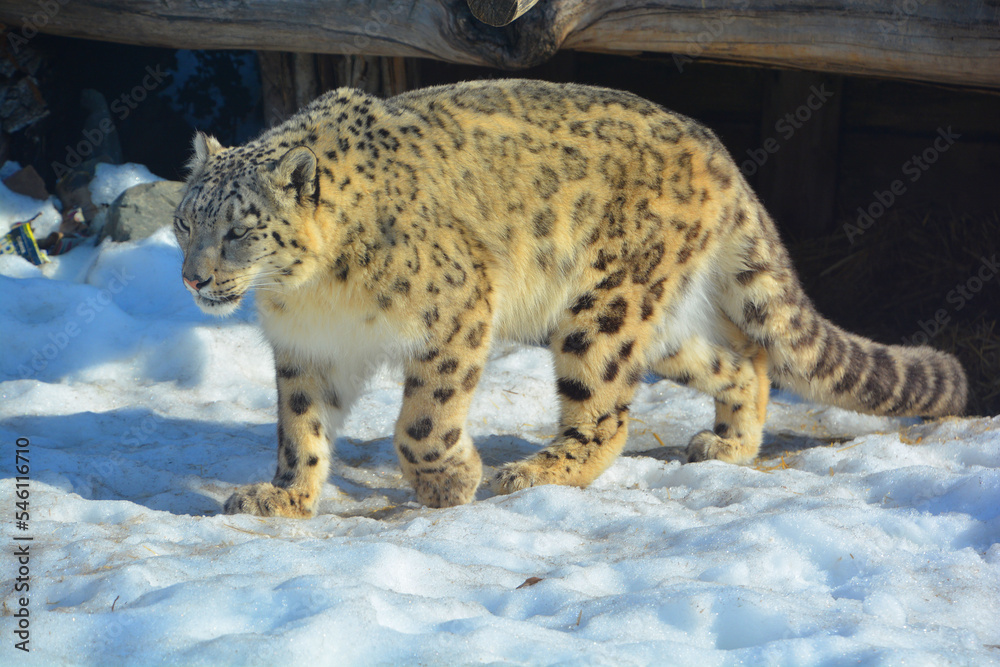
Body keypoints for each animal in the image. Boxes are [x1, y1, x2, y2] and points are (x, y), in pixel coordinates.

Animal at [173, 79, 967, 518]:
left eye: (239, 231)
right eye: (184, 221)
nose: (192, 278)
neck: (311, 296)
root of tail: (717, 150)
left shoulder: (459, 307)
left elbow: (425, 418)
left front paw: (449, 479)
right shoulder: (306, 352)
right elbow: (299, 429)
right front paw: (283, 496)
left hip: (601, 310)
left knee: (606, 412)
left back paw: (533, 470)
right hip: (656, 322)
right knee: (741, 361)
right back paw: (730, 442)